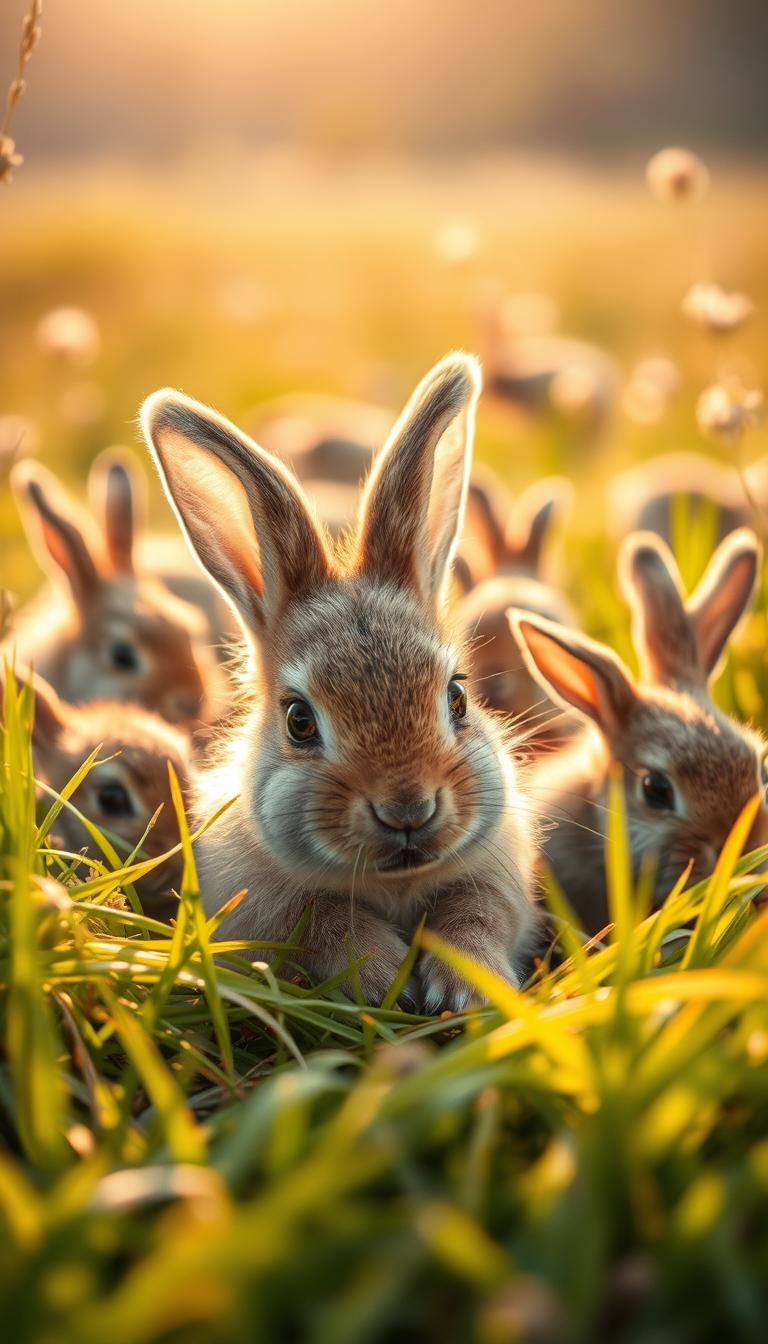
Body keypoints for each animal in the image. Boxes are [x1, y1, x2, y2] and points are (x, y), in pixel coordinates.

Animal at [141, 353, 538, 1012]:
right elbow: (328, 922)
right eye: (299, 721)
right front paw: (383, 979)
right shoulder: (273, 904)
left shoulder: (492, 879)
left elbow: (472, 917)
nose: (408, 809)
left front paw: (466, 987)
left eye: (457, 697)